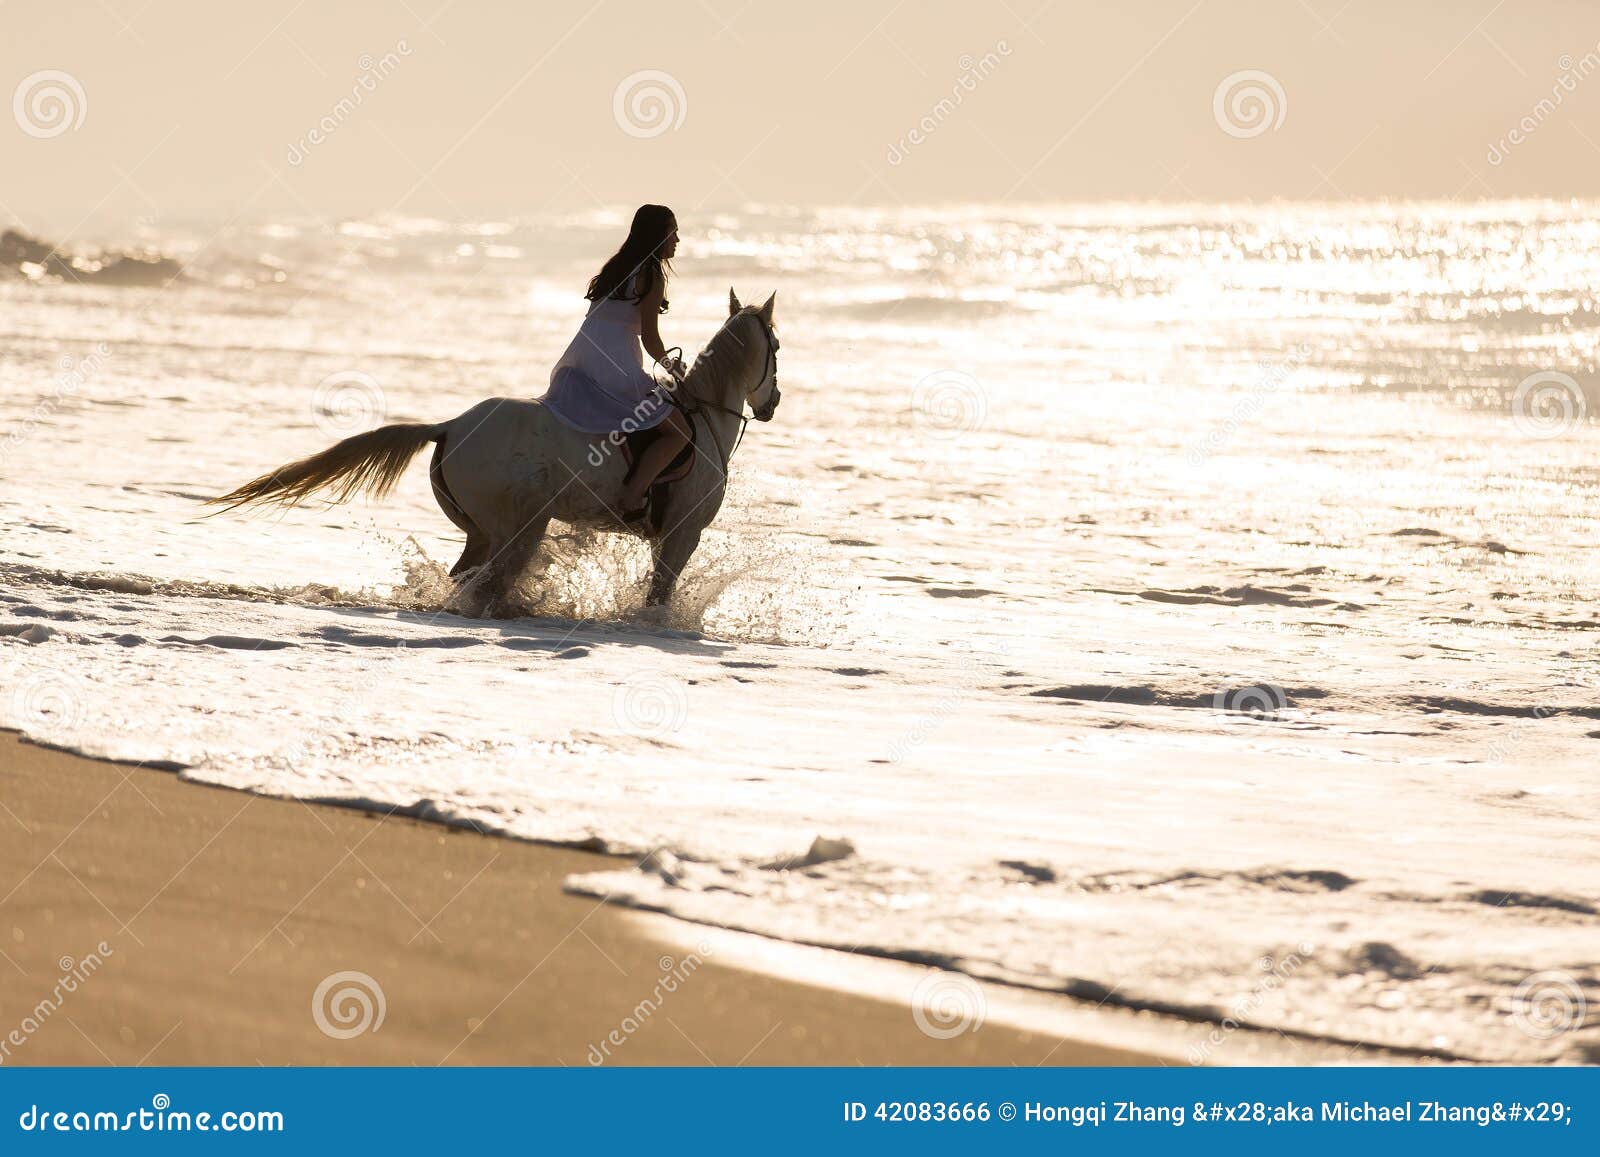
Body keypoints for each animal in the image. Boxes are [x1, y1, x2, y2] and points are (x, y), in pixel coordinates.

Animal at [212, 289, 781, 615]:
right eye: (776, 348)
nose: (772, 403)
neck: (706, 415)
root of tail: (451, 426)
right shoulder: (683, 533)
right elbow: (659, 595)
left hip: (482, 531)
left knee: (466, 579)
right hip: (519, 529)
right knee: (491, 583)